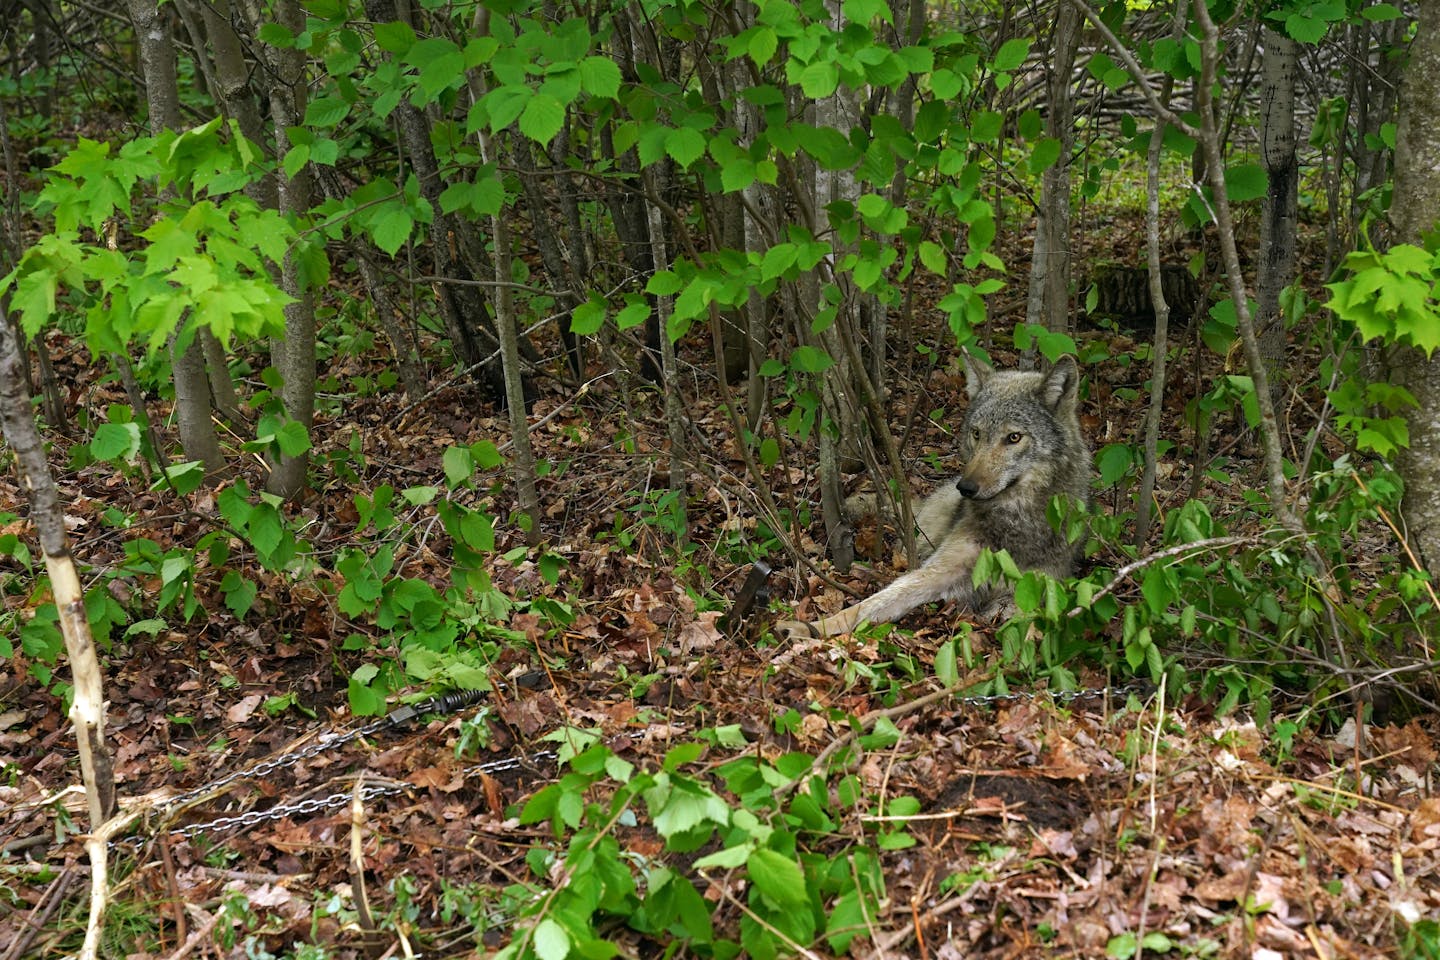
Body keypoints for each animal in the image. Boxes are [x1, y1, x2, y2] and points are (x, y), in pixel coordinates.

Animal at [777, 353, 1091, 639]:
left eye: (1014, 437)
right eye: (976, 433)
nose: (966, 488)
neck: (1014, 524)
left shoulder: (1040, 587)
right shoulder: (942, 571)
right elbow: (868, 604)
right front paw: (812, 628)